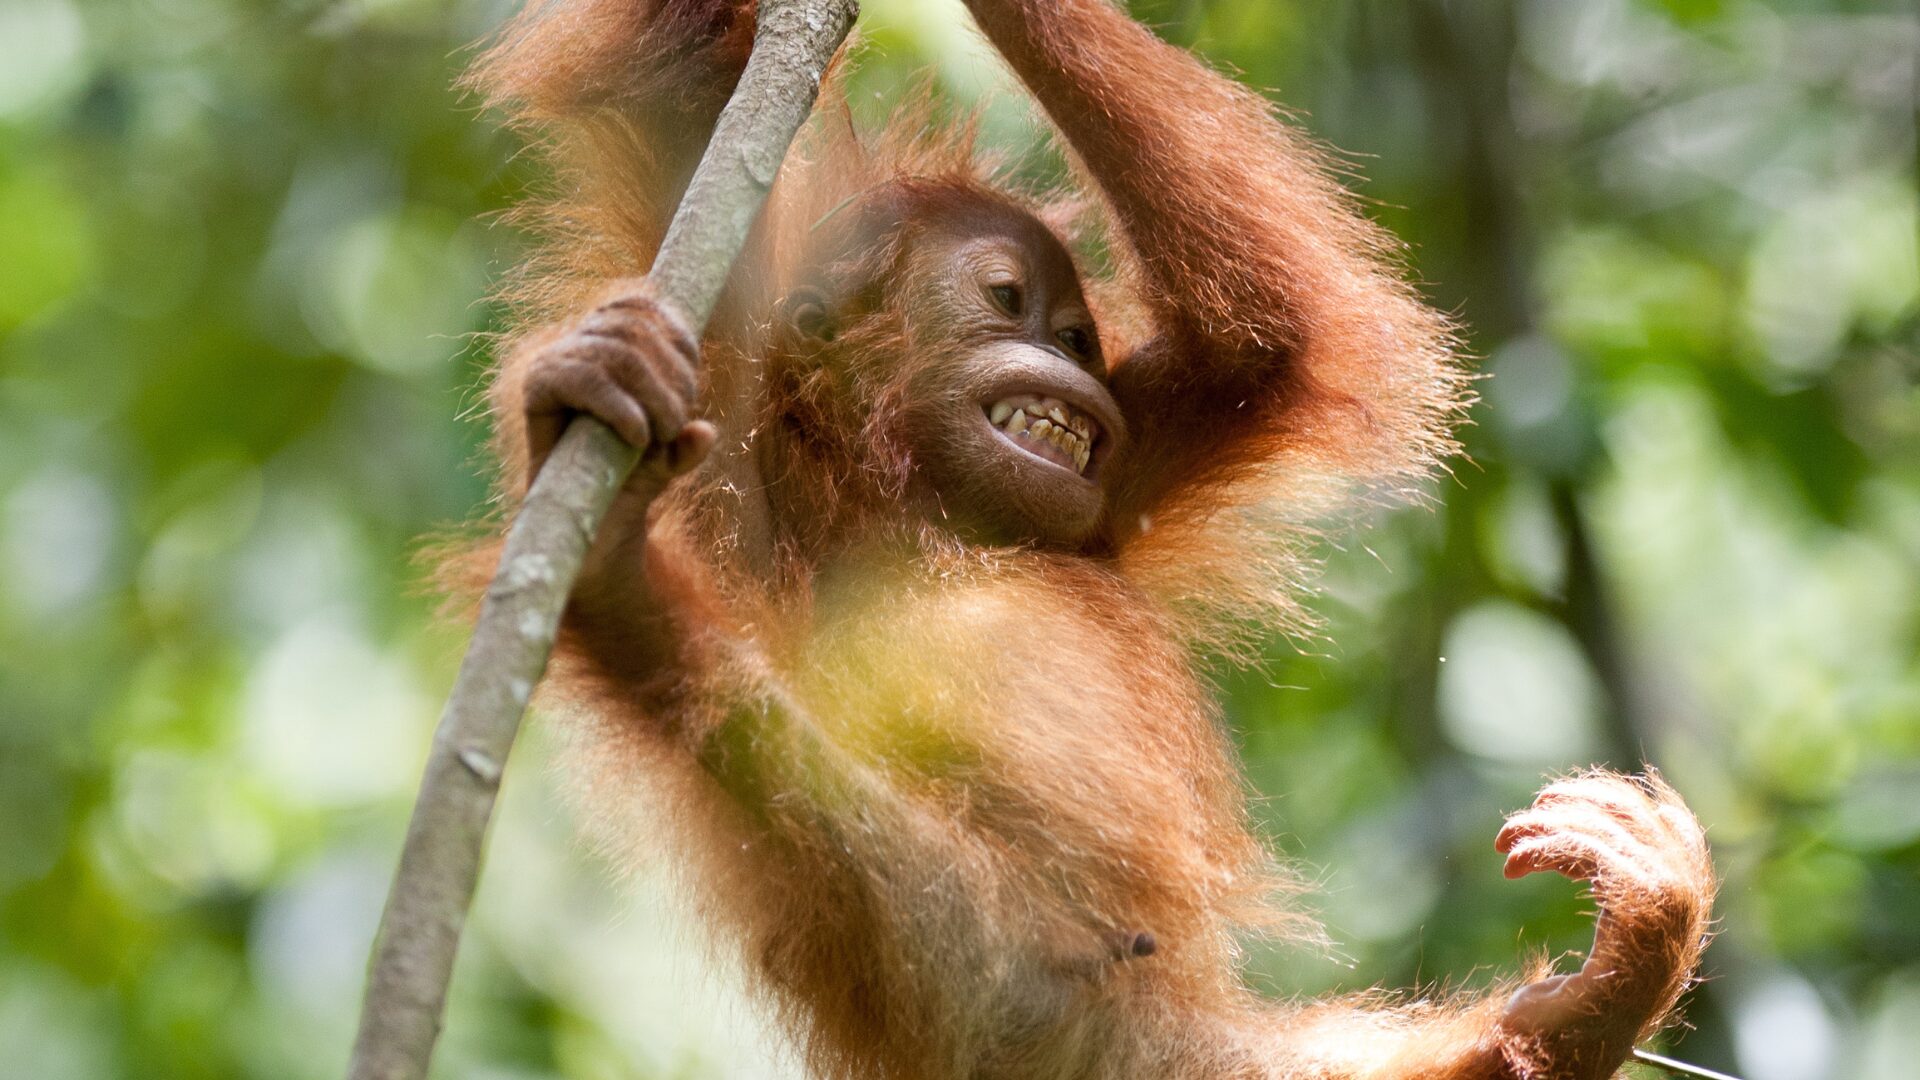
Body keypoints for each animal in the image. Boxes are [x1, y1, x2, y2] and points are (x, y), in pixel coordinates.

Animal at [454, 0, 1717, 1077]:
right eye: (1007, 302)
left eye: (1076, 336)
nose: (1066, 374)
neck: (910, 500)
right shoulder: (736, 454)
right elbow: (668, 119)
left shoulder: (1123, 474)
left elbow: (1264, 342)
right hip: (994, 996)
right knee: (846, 828)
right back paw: (616, 574)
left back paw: (1594, 990)